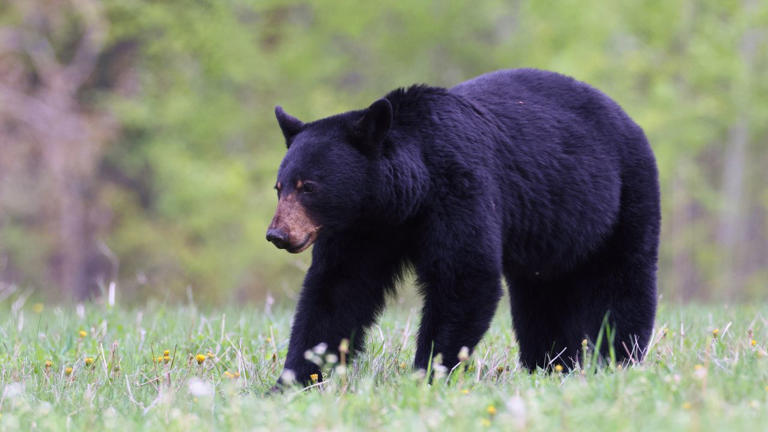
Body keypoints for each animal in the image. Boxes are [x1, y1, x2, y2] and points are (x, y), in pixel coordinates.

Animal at [267, 68, 660, 387]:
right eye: (280, 186)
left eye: (309, 186)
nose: (277, 234)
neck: (406, 196)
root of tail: (625, 115)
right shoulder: (361, 230)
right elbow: (337, 290)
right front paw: (294, 379)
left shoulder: (460, 190)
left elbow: (464, 277)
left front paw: (427, 374)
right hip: (553, 233)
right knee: (542, 296)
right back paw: (551, 364)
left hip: (624, 194)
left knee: (622, 280)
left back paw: (616, 359)